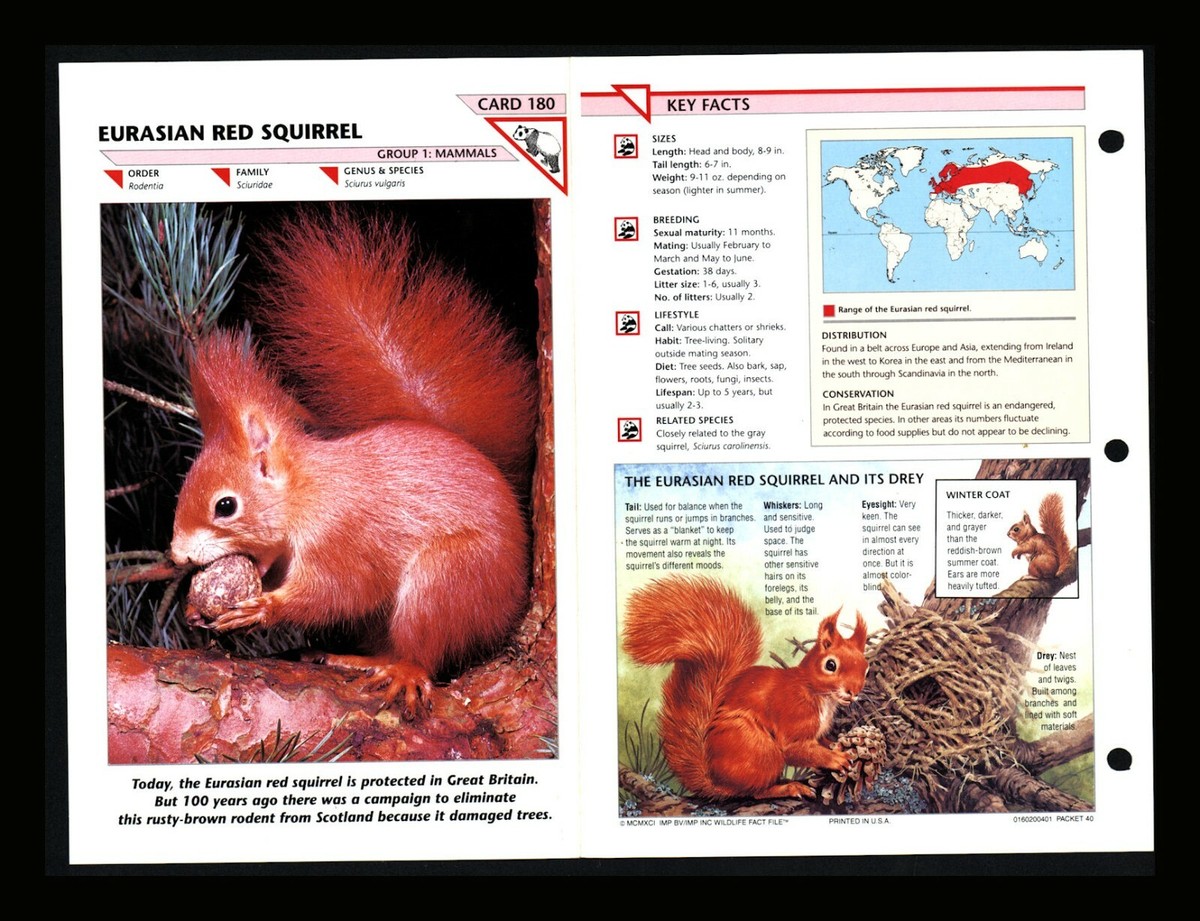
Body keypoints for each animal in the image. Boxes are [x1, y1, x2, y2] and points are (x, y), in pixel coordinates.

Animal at [168, 207, 536, 718]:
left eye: (226, 506)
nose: (177, 554)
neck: (308, 493)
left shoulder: (342, 537)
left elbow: (340, 591)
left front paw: (265, 608)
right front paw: (194, 607)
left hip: (448, 578)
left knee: (423, 646)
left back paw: (400, 669)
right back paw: (350, 656)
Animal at [623, 575, 868, 801]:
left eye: (865, 669)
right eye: (830, 665)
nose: (853, 693)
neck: (816, 693)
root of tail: (716, 782)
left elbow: (820, 742)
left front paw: (837, 744)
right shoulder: (793, 716)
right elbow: (796, 749)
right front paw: (835, 759)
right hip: (760, 750)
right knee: (755, 792)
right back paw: (788, 787)